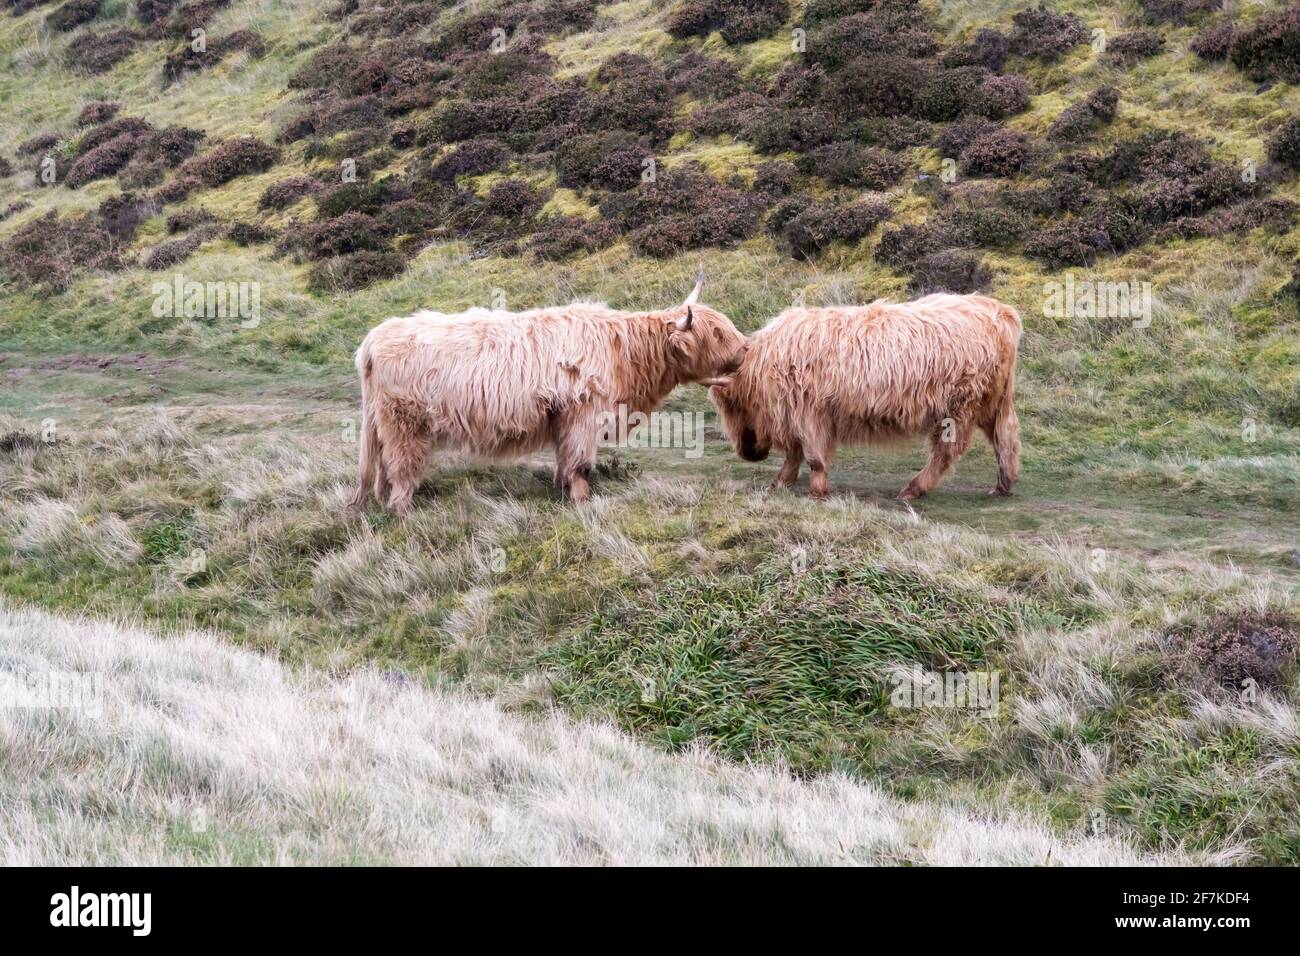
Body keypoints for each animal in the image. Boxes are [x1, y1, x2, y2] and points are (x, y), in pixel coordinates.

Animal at [352, 275, 748, 512]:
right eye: (715, 333)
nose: (746, 348)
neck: (623, 350)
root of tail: (375, 336)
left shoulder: (563, 417)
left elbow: (565, 458)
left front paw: (562, 488)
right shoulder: (584, 413)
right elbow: (581, 462)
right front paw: (582, 500)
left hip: (383, 421)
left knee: (382, 465)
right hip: (405, 422)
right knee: (401, 465)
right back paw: (402, 508)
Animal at [707, 293, 1021, 501]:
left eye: (732, 406)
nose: (747, 453)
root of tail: (998, 310)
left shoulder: (807, 412)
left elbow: (813, 456)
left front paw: (816, 490)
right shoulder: (800, 413)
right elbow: (794, 453)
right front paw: (781, 482)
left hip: (958, 408)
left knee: (947, 451)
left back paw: (912, 489)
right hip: (992, 401)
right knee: (1005, 434)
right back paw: (1003, 484)